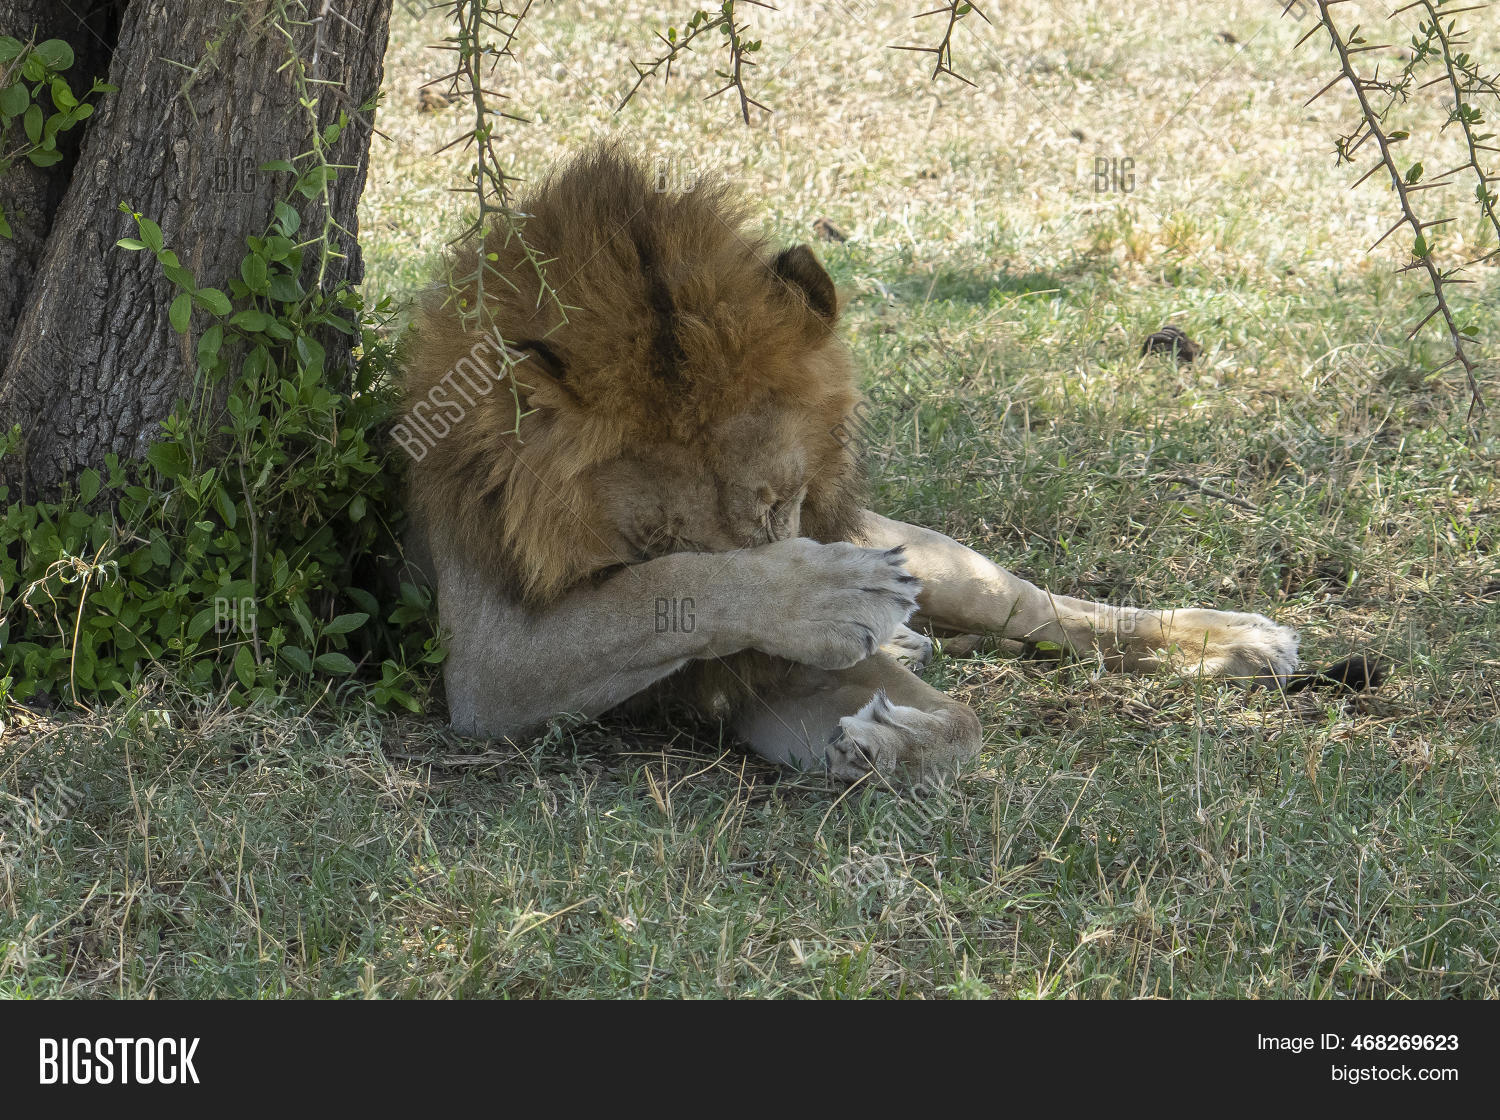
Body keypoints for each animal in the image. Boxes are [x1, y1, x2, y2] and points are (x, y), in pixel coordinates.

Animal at [400, 145, 1299, 785]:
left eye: (780, 505)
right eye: (661, 541)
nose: (774, 669)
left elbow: (964, 723)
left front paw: (886, 734)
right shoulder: (494, 663)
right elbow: (667, 598)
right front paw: (867, 709)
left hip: (935, 559)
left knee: (1044, 609)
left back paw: (1239, 641)